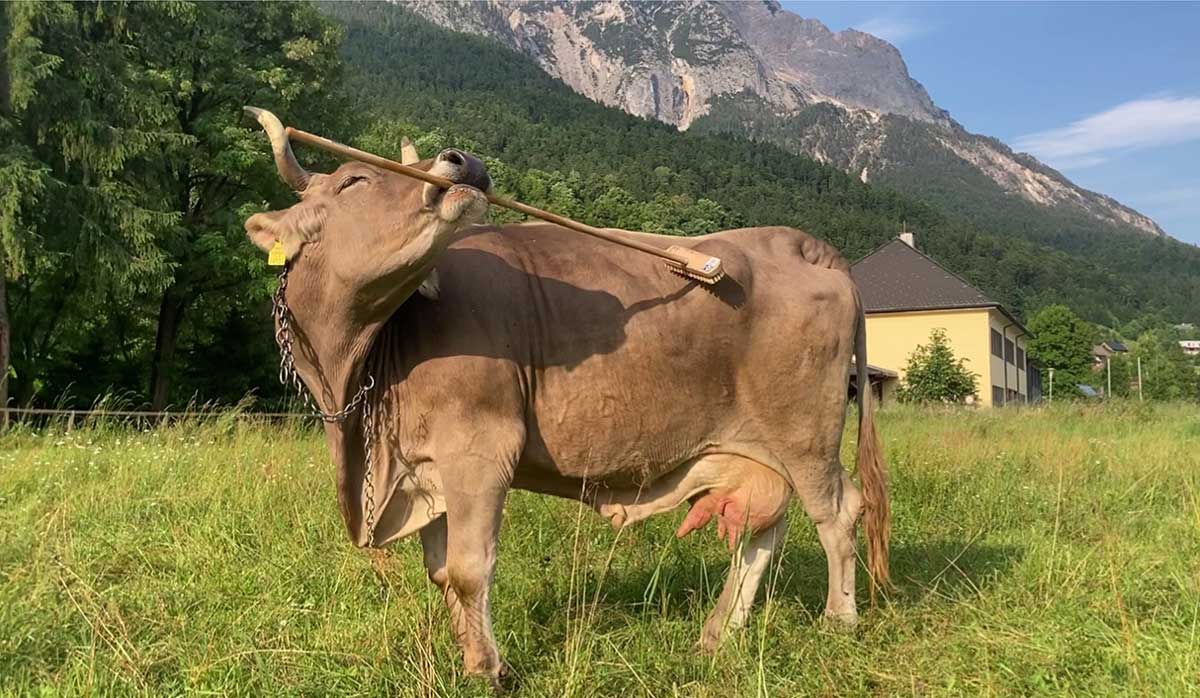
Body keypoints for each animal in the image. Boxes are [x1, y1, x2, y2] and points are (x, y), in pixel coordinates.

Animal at [243, 109, 890, 688]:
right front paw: (473, 657)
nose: (463, 161)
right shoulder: (424, 467)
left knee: (837, 512)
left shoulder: (480, 450)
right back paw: (717, 634)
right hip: (757, 448)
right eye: (353, 181)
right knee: (766, 528)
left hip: (805, 433)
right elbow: (441, 572)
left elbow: (469, 569)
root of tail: (796, 242)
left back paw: (838, 620)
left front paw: (487, 670)